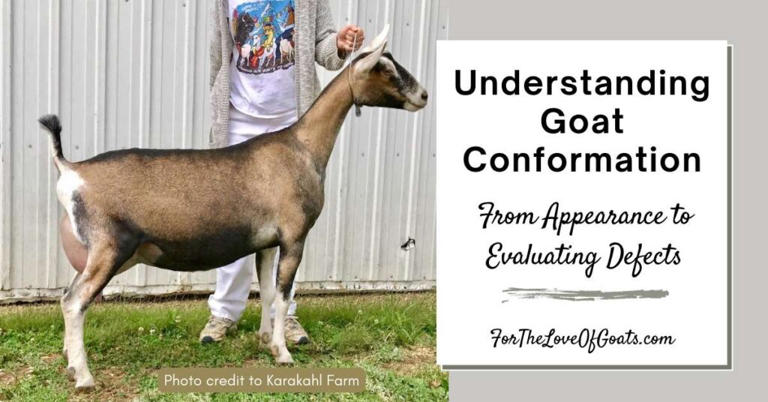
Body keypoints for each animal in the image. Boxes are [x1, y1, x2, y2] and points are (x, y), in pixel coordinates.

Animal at [40, 26, 427, 389]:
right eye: (384, 68)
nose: (423, 95)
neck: (301, 147)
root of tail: (71, 169)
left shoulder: (267, 243)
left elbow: (267, 293)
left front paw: (266, 341)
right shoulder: (294, 236)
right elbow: (283, 295)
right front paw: (284, 354)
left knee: (67, 297)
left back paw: (70, 362)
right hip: (110, 249)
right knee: (74, 302)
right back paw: (84, 376)